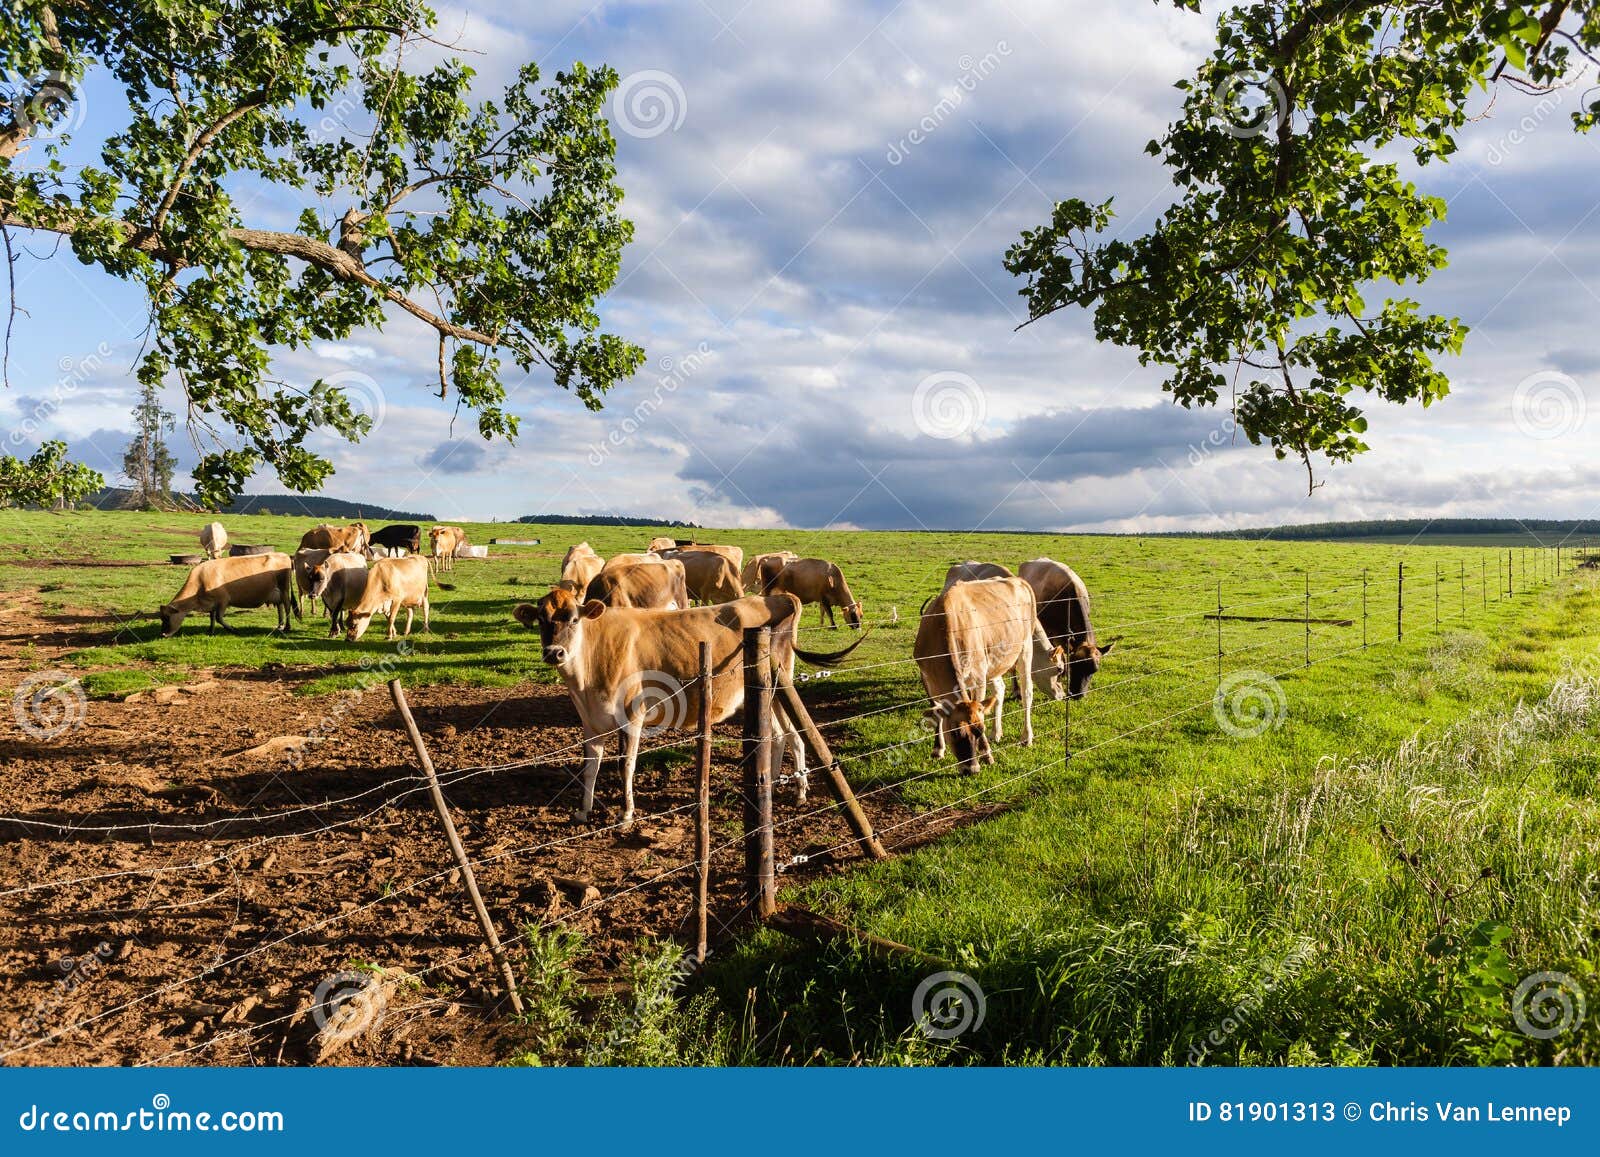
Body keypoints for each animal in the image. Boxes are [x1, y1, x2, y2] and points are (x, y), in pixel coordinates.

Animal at [159, 553, 299, 636]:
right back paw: (280, 626)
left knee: (287, 606)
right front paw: (210, 631)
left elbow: (218, 618)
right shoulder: (213, 603)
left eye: (167, 617)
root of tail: (285, 555)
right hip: (277, 593)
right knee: (280, 607)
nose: (163, 634)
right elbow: (212, 617)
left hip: (284, 589)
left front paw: (232, 629)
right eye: (162, 617)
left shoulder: (223, 600)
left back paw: (287, 627)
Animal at [511, 589, 867, 822]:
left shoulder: (632, 715)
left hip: (779, 683)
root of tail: (776, 596)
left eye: (573, 618)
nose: (554, 653)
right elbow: (590, 767)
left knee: (793, 734)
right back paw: (776, 784)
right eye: (541, 619)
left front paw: (626, 814)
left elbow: (626, 765)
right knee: (781, 734)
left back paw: (800, 791)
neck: (586, 678)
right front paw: (583, 811)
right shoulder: (590, 720)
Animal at [914, 577, 1066, 774]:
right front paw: (938, 749)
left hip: (1025, 648)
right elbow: (936, 712)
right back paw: (997, 733)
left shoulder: (978, 677)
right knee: (1000, 690)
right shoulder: (927, 677)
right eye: (954, 733)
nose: (972, 769)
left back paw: (1026, 737)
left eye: (980, 730)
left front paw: (986, 753)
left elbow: (980, 707)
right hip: (995, 661)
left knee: (1027, 693)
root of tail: (1017, 580)